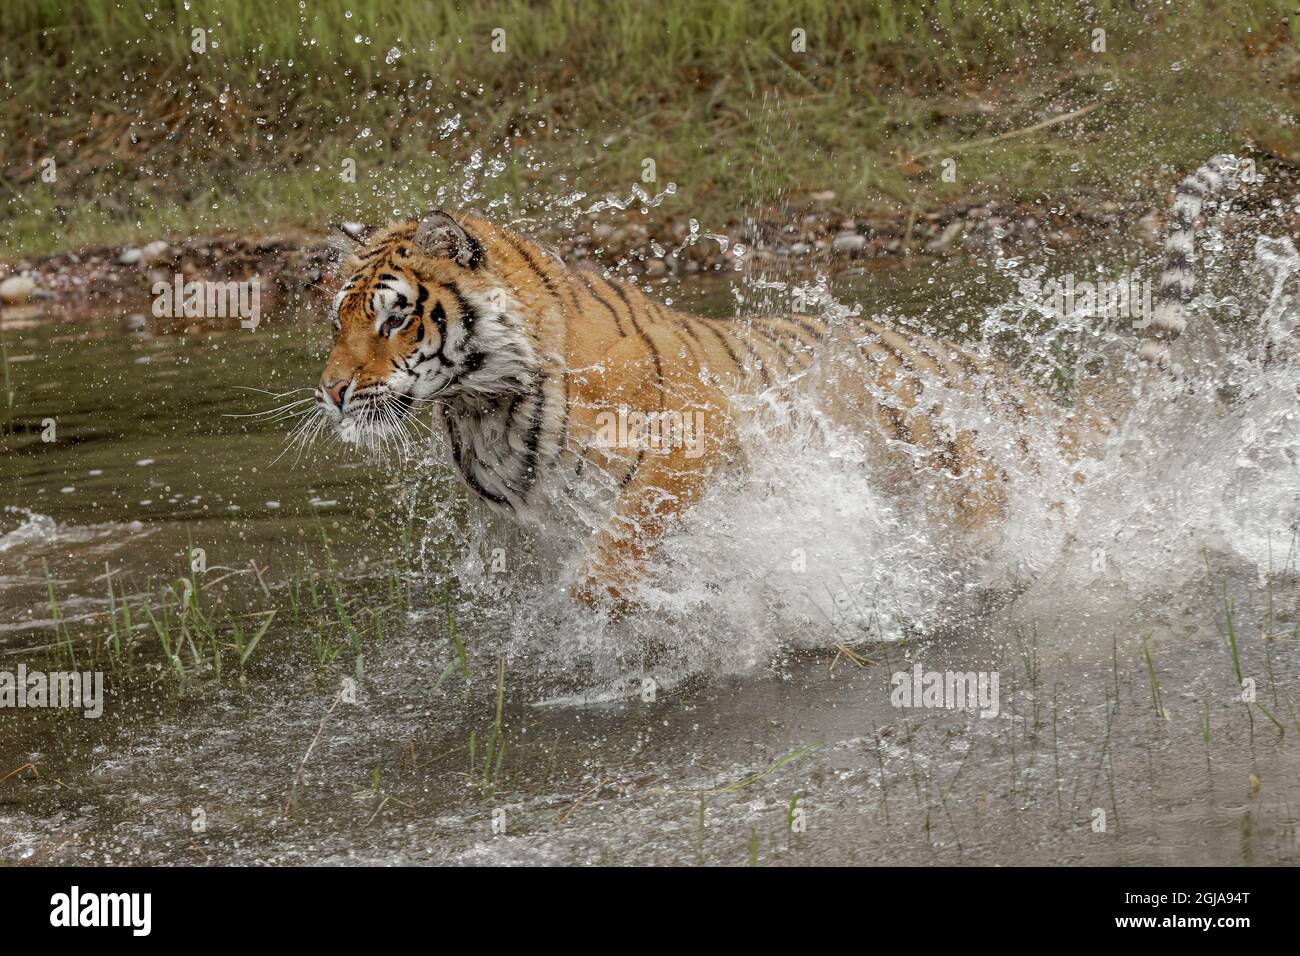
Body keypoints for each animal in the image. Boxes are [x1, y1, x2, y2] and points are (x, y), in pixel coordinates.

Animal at [313, 156, 1240, 613]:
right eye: (337, 318)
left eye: (395, 318)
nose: (330, 393)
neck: (481, 402)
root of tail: (1039, 406)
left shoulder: (689, 445)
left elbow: (610, 563)